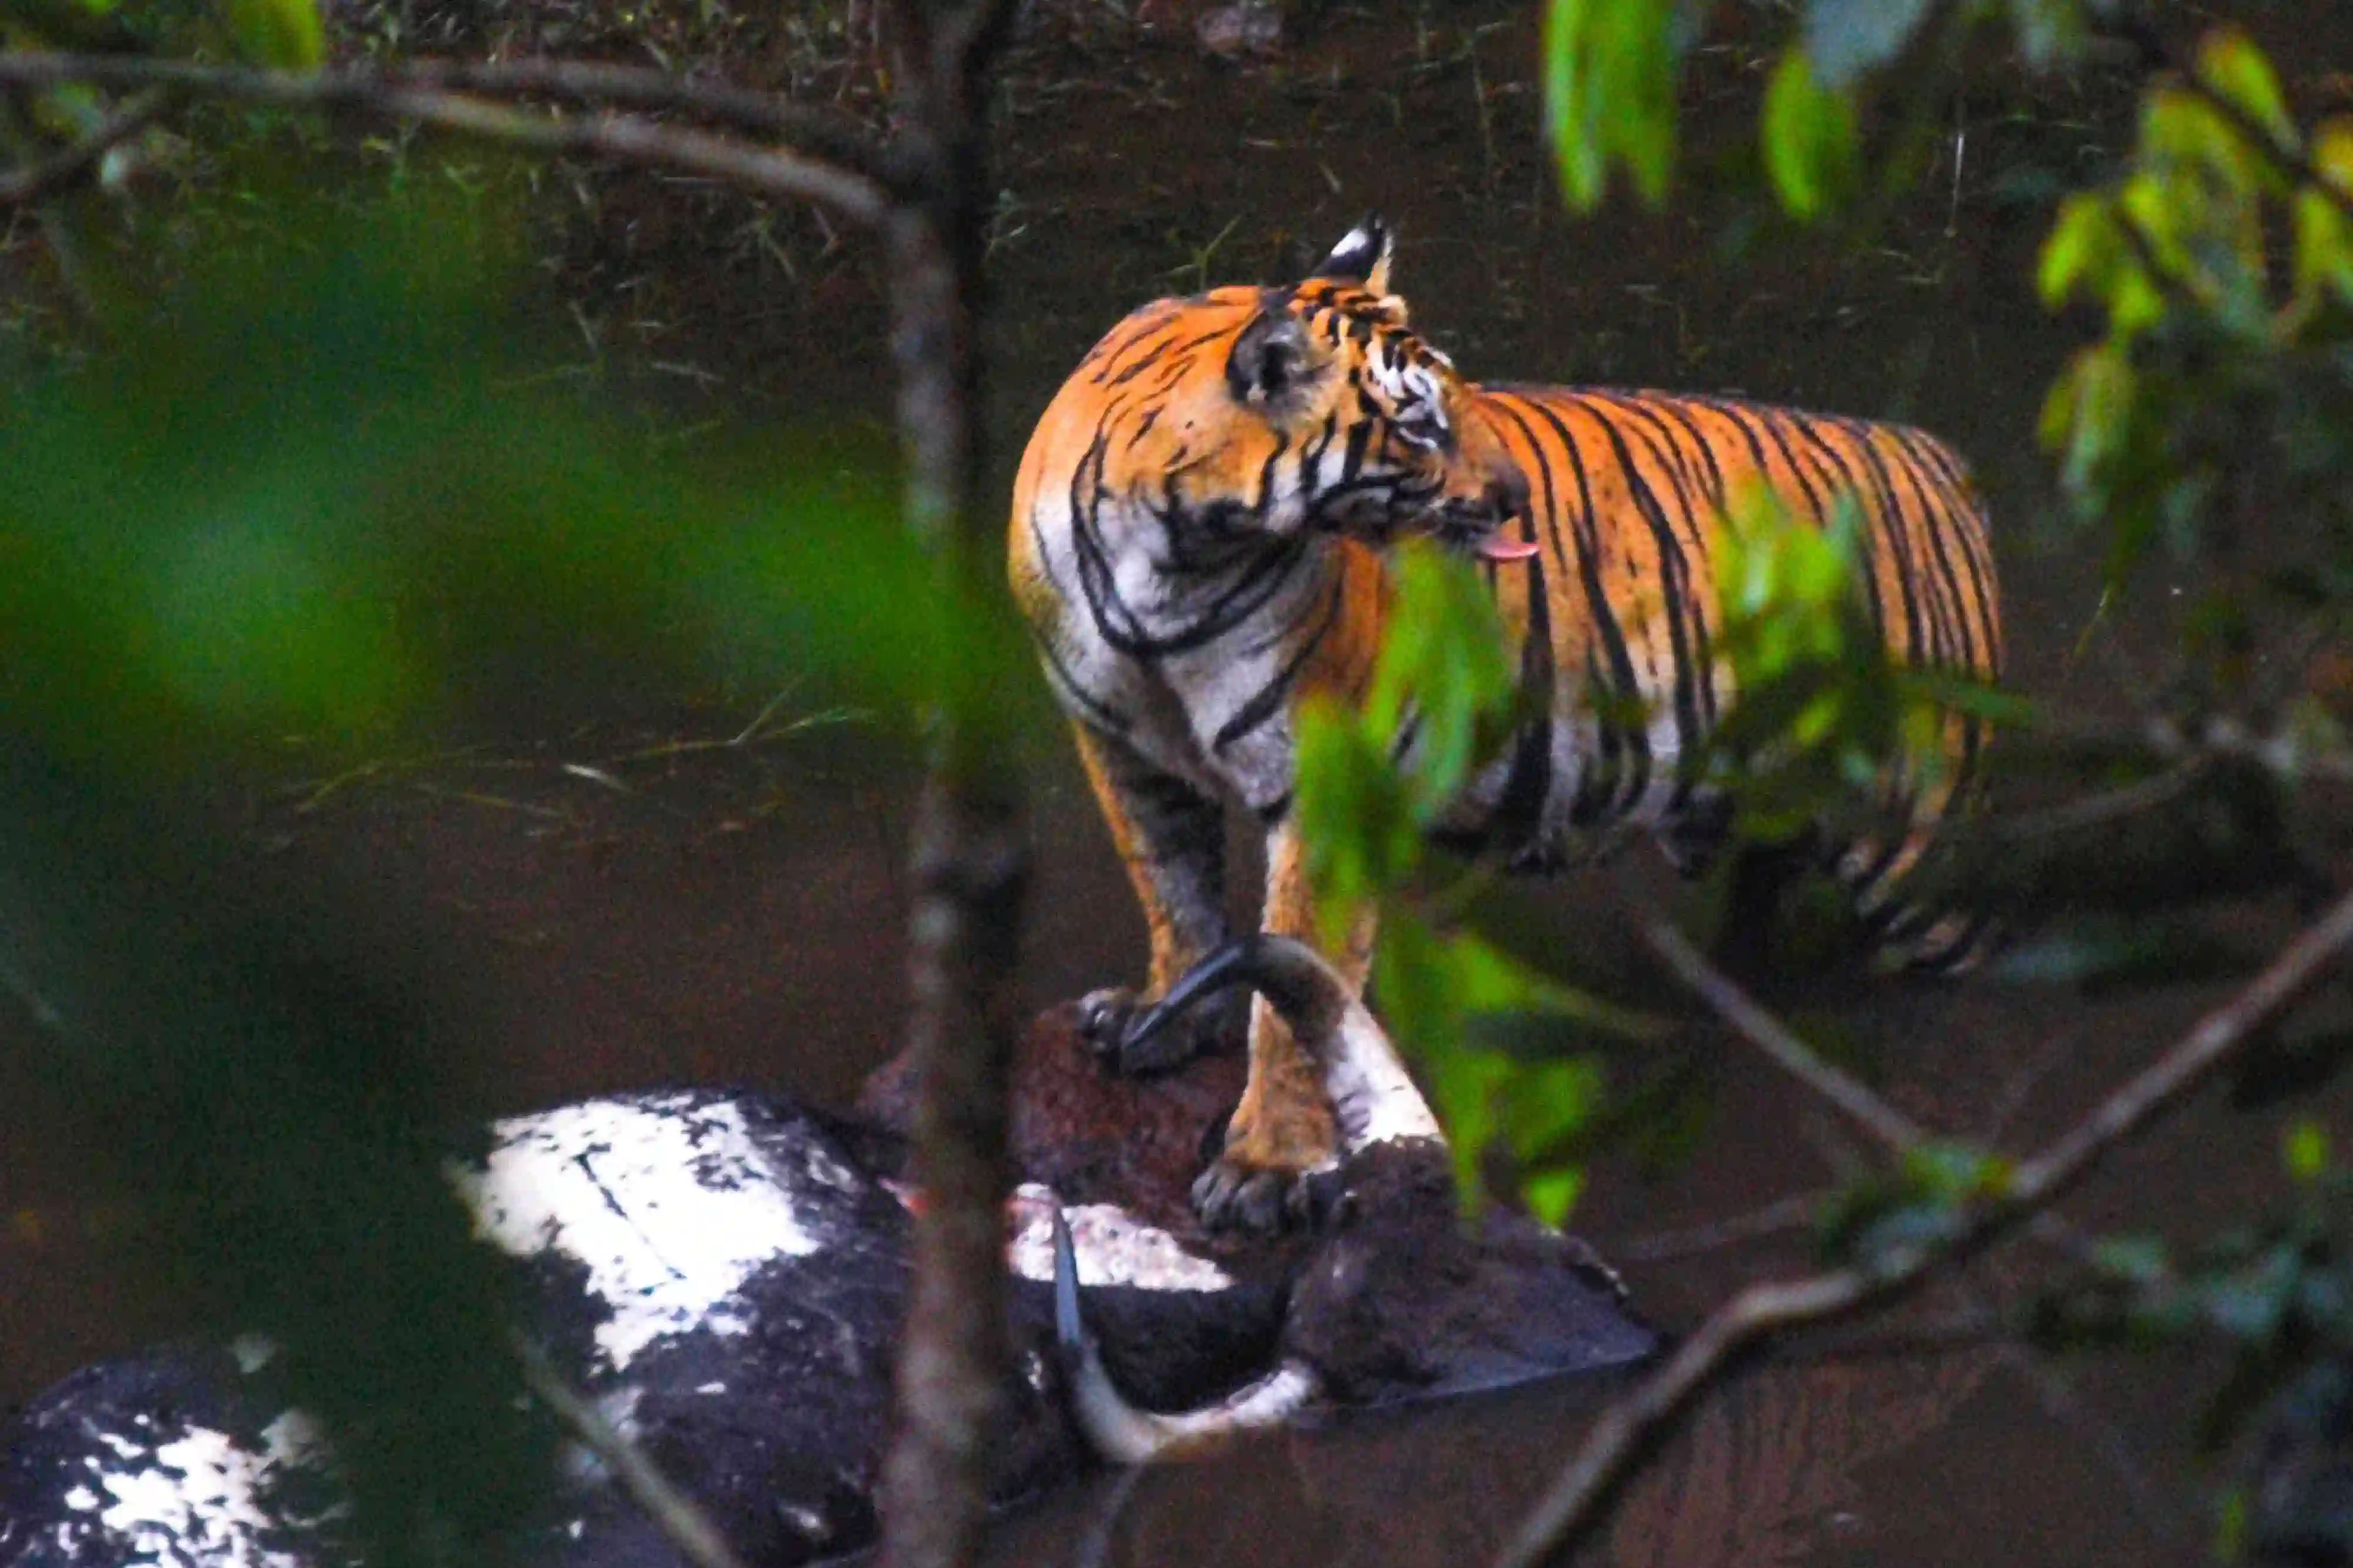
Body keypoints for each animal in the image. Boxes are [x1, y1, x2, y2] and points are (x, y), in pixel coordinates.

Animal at [1007, 217, 2003, 1233]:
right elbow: (1173, 890)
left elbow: (1293, 995)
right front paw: (1163, 1012)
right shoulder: (1123, 749)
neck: (1171, 563)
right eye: (1419, 423)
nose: (1518, 493)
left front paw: (1267, 1166)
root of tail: (1928, 453)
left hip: (1908, 838)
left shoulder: (1328, 785)